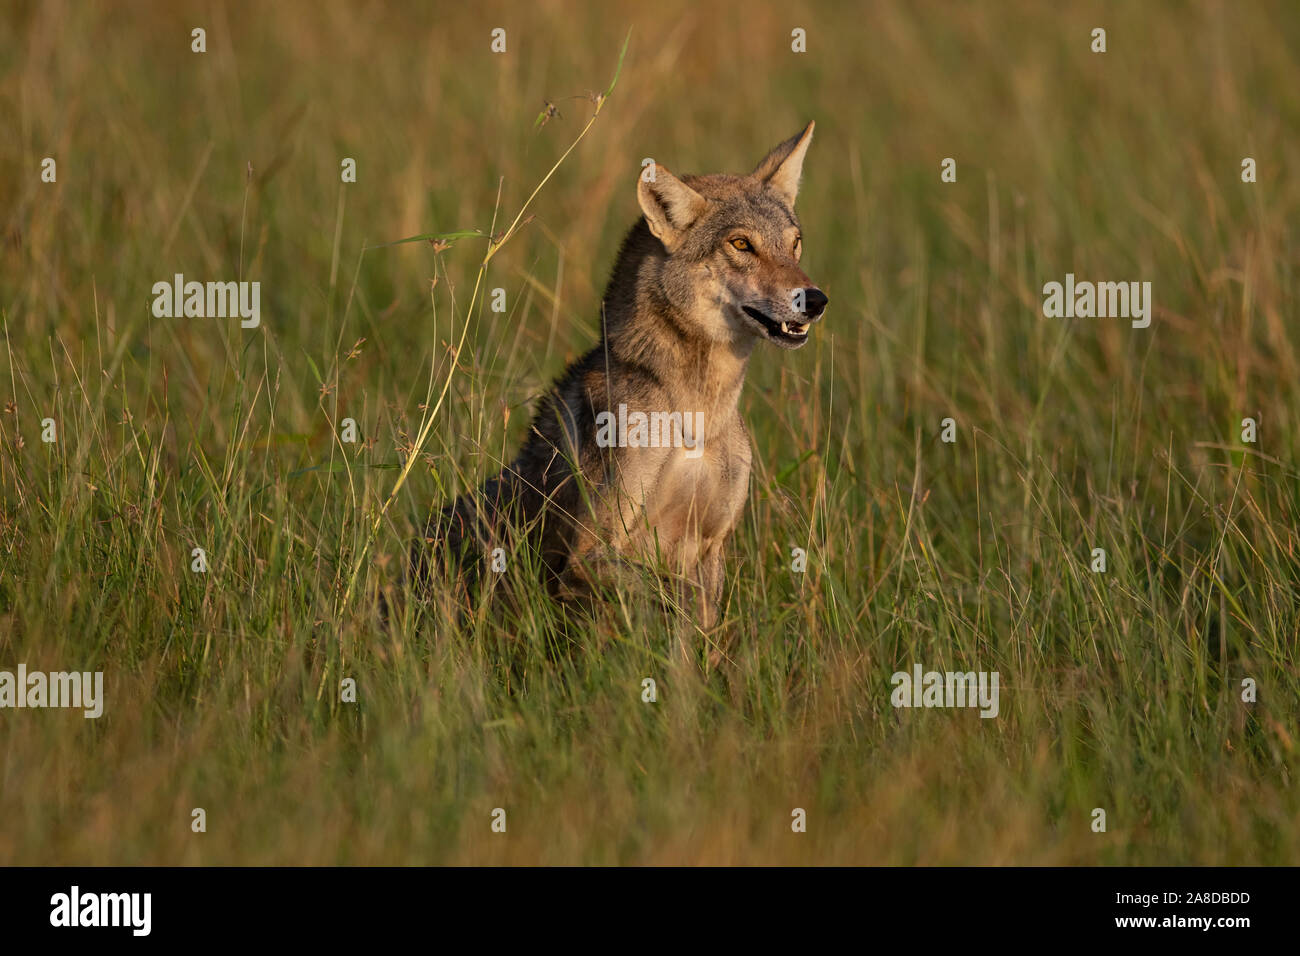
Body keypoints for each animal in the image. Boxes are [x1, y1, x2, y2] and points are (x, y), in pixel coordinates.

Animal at [413, 122, 828, 651]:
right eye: (741, 244)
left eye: (794, 244)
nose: (814, 299)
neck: (695, 418)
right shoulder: (592, 553)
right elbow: (675, 597)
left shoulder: (711, 545)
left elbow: (699, 626)